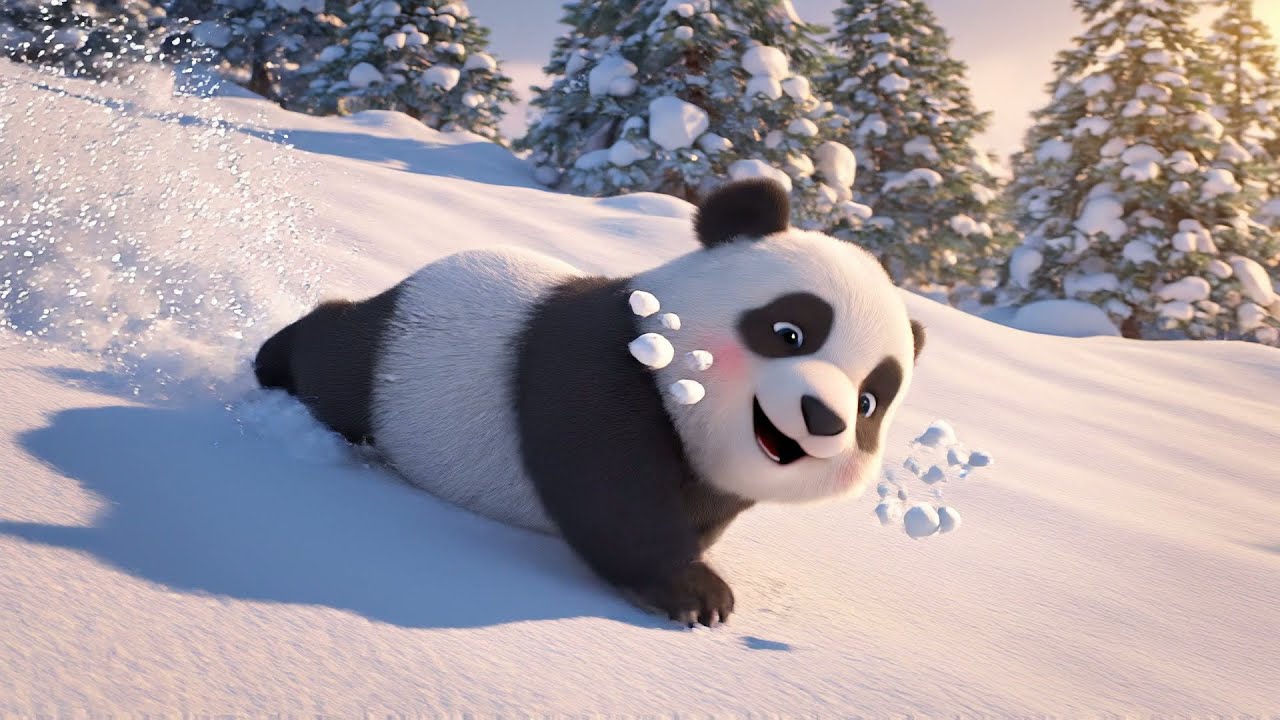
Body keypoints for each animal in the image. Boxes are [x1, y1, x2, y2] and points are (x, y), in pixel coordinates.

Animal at [253, 179, 925, 627]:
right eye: (789, 332)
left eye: (870, 402)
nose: (824, 418)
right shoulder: (601, 366)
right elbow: (609, 488)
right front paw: (696, 594)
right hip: (395, 364)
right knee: (336, 364)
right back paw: (277, 360)